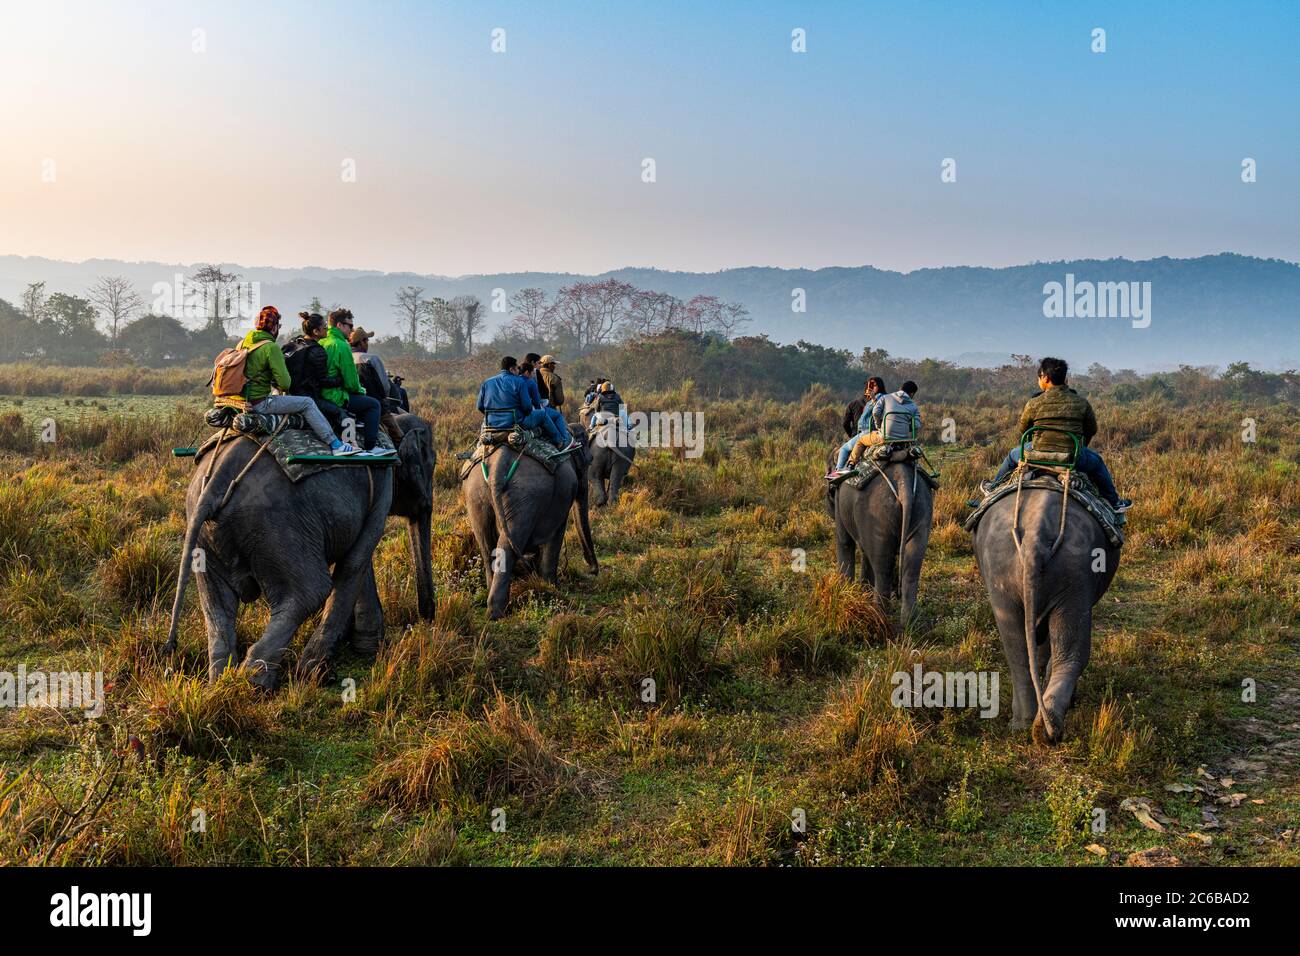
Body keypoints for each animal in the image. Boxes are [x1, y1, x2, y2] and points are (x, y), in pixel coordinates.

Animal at [163, 412, 436, 689]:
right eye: (432, 463)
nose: (425, 620)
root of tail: (217, 481)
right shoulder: (383, 485)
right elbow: (355, 561)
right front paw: (319, 672)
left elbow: (358, 559)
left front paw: (365, 648)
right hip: (278, 527)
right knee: (309, 592)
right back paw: (258, 683)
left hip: (206, 536)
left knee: (216, 603)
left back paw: (221, 681)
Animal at [462, 427, 598, 619]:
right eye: (589, 460)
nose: (592, 571)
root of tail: (498, 465)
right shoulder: (563, 497)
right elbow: (556, 535)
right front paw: (552, 587)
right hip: (525, 496)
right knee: (508, 546)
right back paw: (497, 612)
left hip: (475, 493)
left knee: (486, 545)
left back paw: (489, 601)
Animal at [826, 448, 934, 629]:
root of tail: (903, 481)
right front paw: (862, 592)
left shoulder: (841, 502)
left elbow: (844, 542)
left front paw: (843, 593)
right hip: (923, 507)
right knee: (912, 568)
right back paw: (908, 626)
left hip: (878, 511)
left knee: (883, 568)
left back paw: (878, 621)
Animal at [972, 485, 1119, 744]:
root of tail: (1035, 538)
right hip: (1074, 578)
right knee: (1070, 654)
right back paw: (1046, 724)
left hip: (1003, 577)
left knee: (1019, 653)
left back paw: (1029, 724)